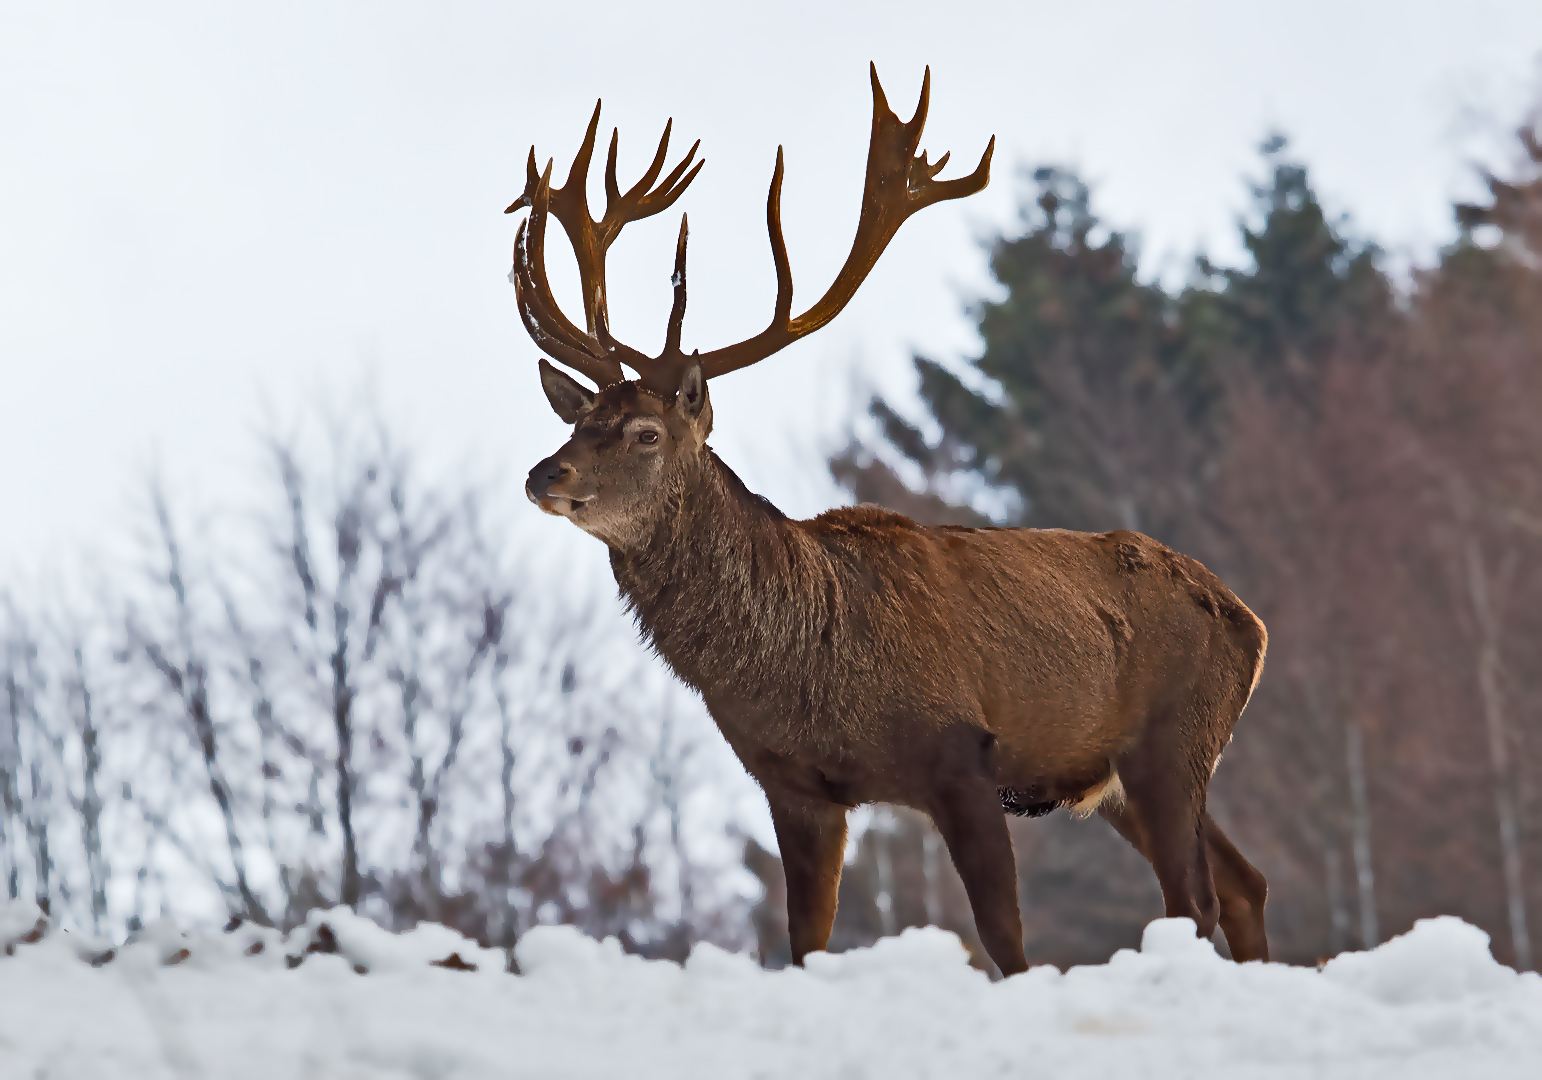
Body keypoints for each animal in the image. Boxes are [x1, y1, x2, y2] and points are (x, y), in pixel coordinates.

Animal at [509, 66, 1271, 974]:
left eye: (645, 433)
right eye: (577, 419)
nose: (543, 474)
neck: (811, 667)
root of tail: (1251, 623)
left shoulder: (963, 757)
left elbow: (1005, 937)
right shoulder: (795, 787)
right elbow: (806, 942)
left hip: (1171, 740)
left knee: (1194, 899)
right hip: (1130, 771)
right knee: (1244, 883)